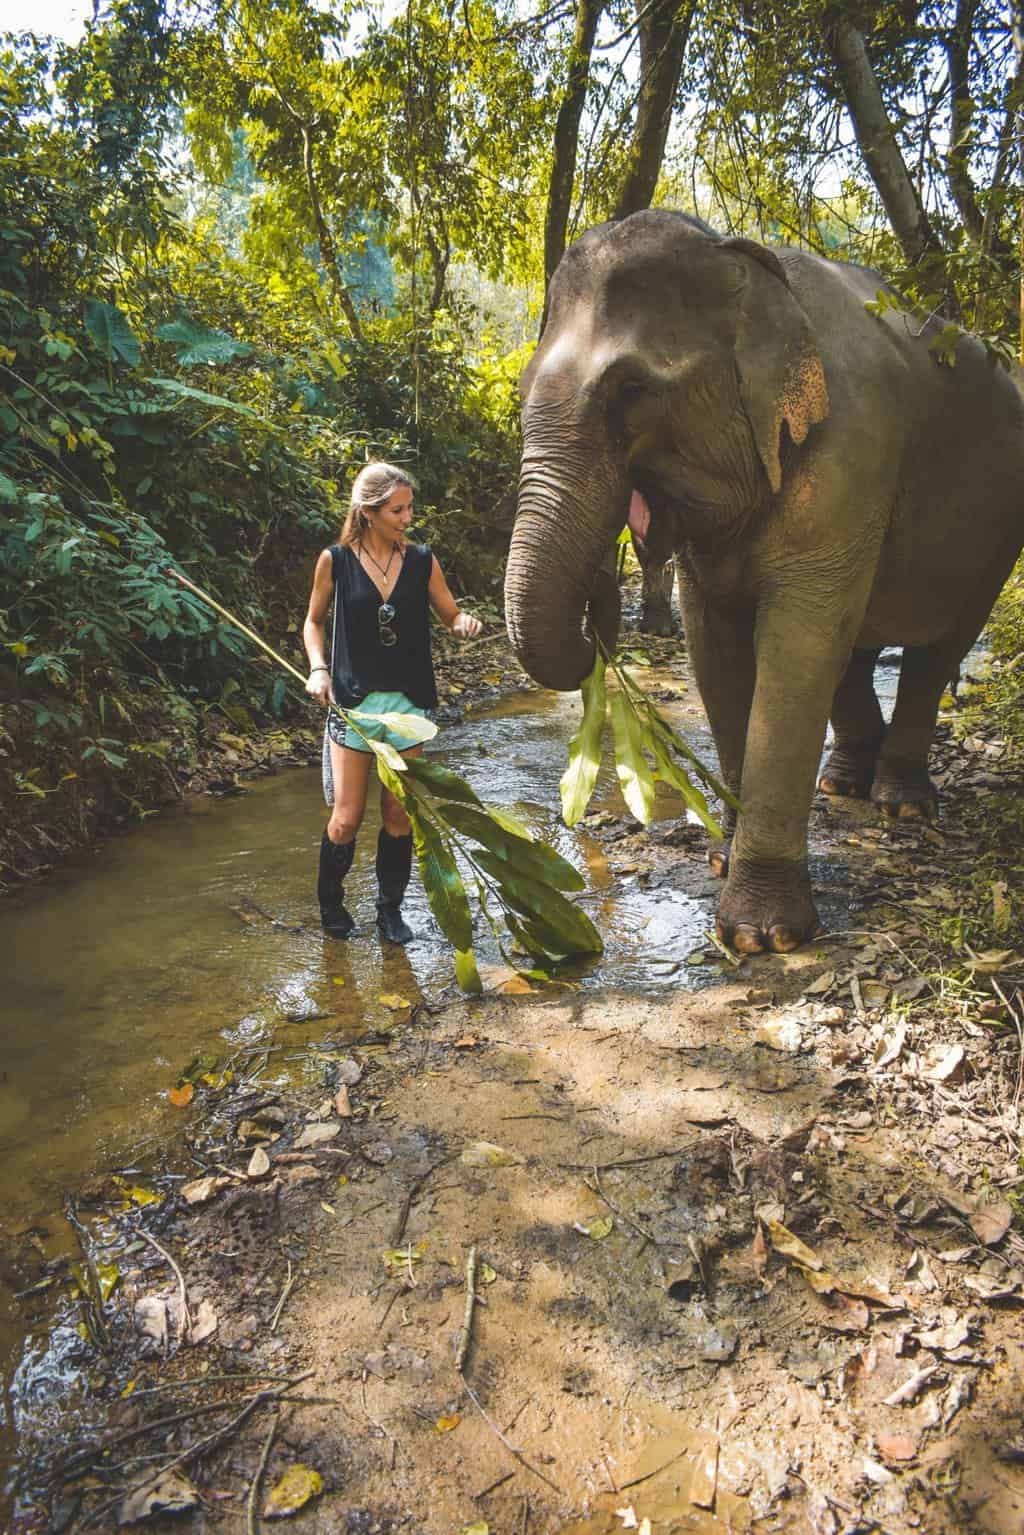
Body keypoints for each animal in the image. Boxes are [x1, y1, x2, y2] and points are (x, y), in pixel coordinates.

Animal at [504, 208, 1024, 954]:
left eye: (630, 391)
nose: (600, 599)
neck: (741, 259)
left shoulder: (854, 447)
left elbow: (799, 642)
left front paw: (762, 936)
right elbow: (715, 643)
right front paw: (722, 860)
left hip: (997, 534)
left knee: (935, 649)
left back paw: (900, 802)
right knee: (857, 647)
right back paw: (842, 785)